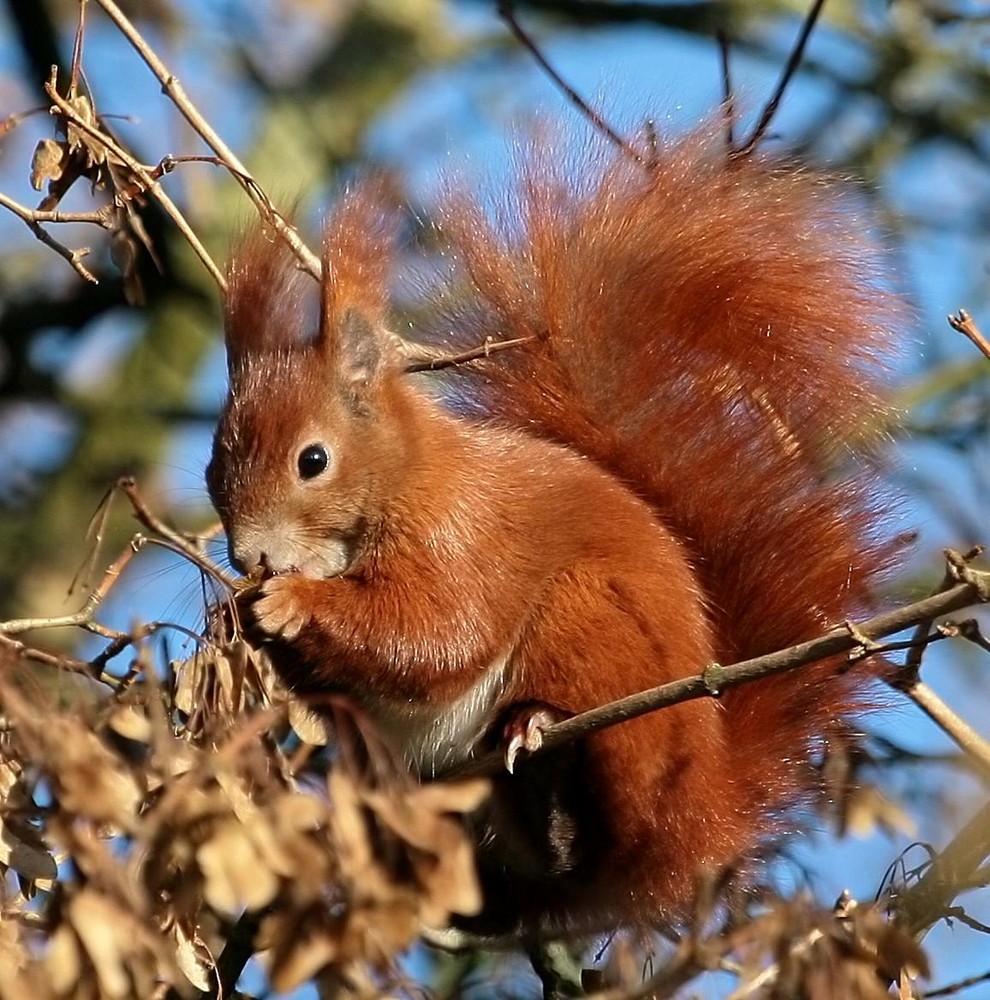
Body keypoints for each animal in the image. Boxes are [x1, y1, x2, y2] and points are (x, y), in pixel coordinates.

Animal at [205, 123, 898, 937]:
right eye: (213, 466)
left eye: (312, 460)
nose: (248, 555)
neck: (406, 475)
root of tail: (706, 804)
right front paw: (243, 611)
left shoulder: (461, 532)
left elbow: (435, 631)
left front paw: (290, 602)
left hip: (594, 629)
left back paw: (538, 739)